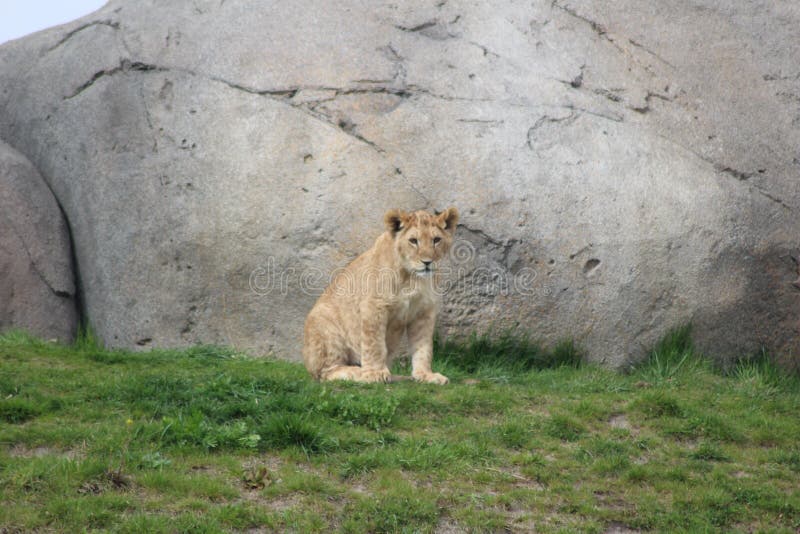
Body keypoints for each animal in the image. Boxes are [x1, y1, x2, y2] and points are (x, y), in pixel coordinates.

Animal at [303, 207, 459, 384]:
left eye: (436, 240)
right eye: (413, 241)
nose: (427, 262)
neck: (412, 278)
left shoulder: (424, 311)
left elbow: (423, 347)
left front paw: (425, 375)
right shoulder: (374, 306)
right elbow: (375, 344)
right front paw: (375, 373)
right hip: (325, 325)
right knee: (326, 372)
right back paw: (359, 371)